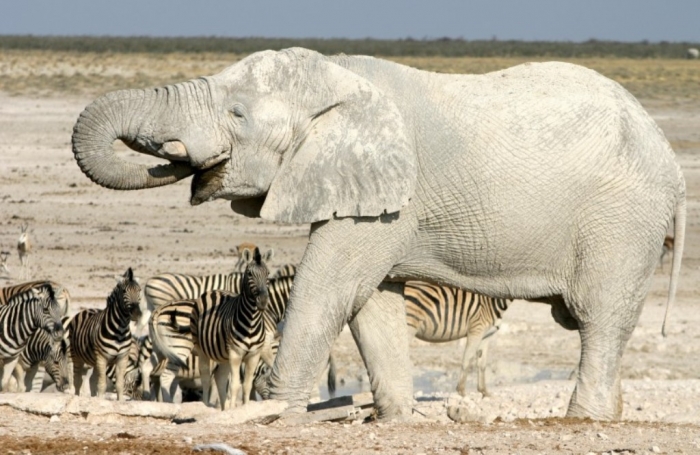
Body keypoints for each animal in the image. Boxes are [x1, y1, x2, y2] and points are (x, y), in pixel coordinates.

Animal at [71, 47, 686, 421]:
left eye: (238, 115)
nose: (177, 160)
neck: (341, 75)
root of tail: (669, 155)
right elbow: (372, 305)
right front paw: (393, 419)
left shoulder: (387, 200)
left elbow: (329, 288)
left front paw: (273, 412)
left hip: (623, 222)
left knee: (599, 317)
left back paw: (584, 419)